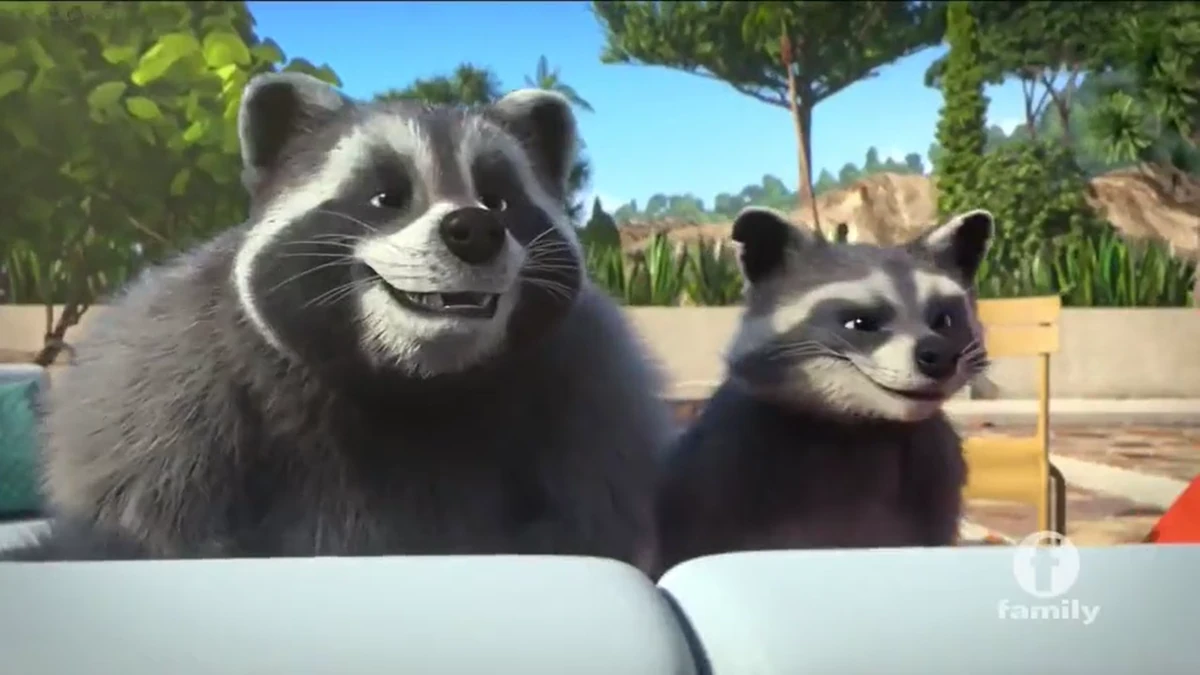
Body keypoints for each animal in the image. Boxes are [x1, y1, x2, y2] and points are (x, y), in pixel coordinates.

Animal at [6, 73, 671, 570]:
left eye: (500, 201)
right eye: (386, 198)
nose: (475, 229)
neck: (415, 380)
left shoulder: (591, 388)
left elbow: (587, 515)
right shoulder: (169, 387)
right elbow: (155, 515)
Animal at [656, 207, 993, 571]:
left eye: (943, 321)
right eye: (861, 323)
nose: (939, 356)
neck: (860, 424)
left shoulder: (934, 474)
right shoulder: (728, 462)